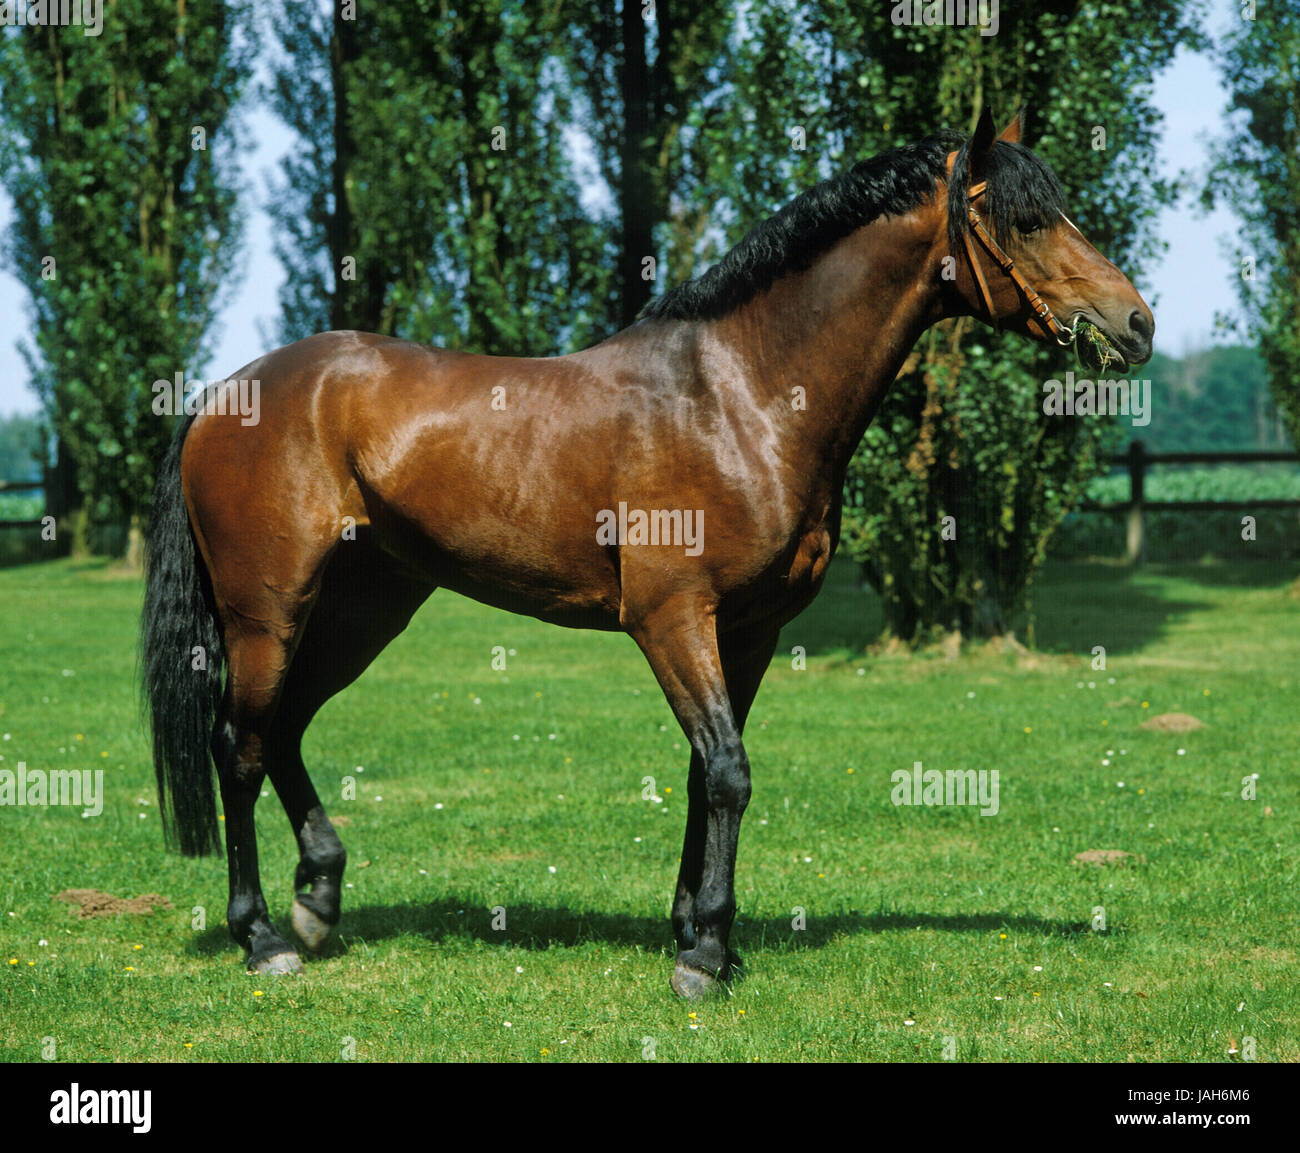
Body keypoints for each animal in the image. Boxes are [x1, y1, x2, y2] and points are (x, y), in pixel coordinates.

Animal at [142, 109, 1153, 999]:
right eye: (1026, 220)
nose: (1136, 322)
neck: (738, 395)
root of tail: (227, 390)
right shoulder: (673, 621)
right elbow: (731, 771)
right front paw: (702, 957)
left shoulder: (746, 631)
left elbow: (709, 773)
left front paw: (703, 932)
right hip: (267, 611)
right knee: (239, 744)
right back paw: (263, 937)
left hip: (364, 607)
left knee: (284, 729)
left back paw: (319, 898)